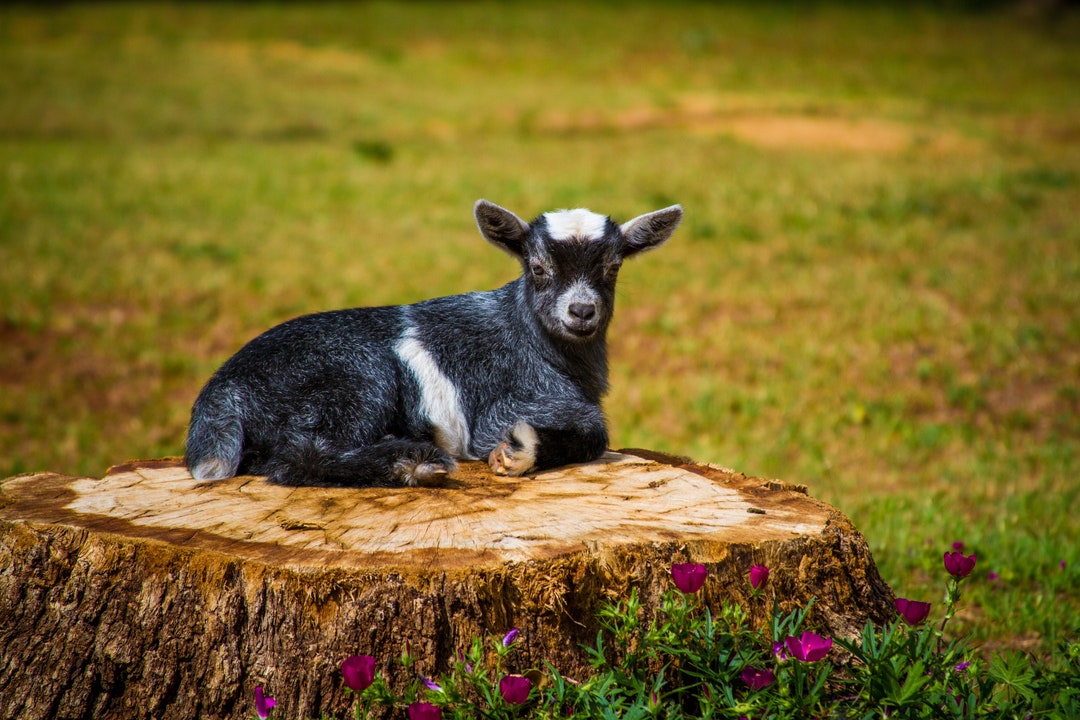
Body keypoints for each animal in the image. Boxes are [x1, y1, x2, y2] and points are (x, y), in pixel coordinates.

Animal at [184, 199, 682, 487]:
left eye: (614, 266)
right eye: (538, 267)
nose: (581, 312)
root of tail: (221, 392)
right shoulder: (507, 403)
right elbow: (595, 431)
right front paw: (518, 453)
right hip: (356, 378)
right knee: (296, 457)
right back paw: (411, 463)